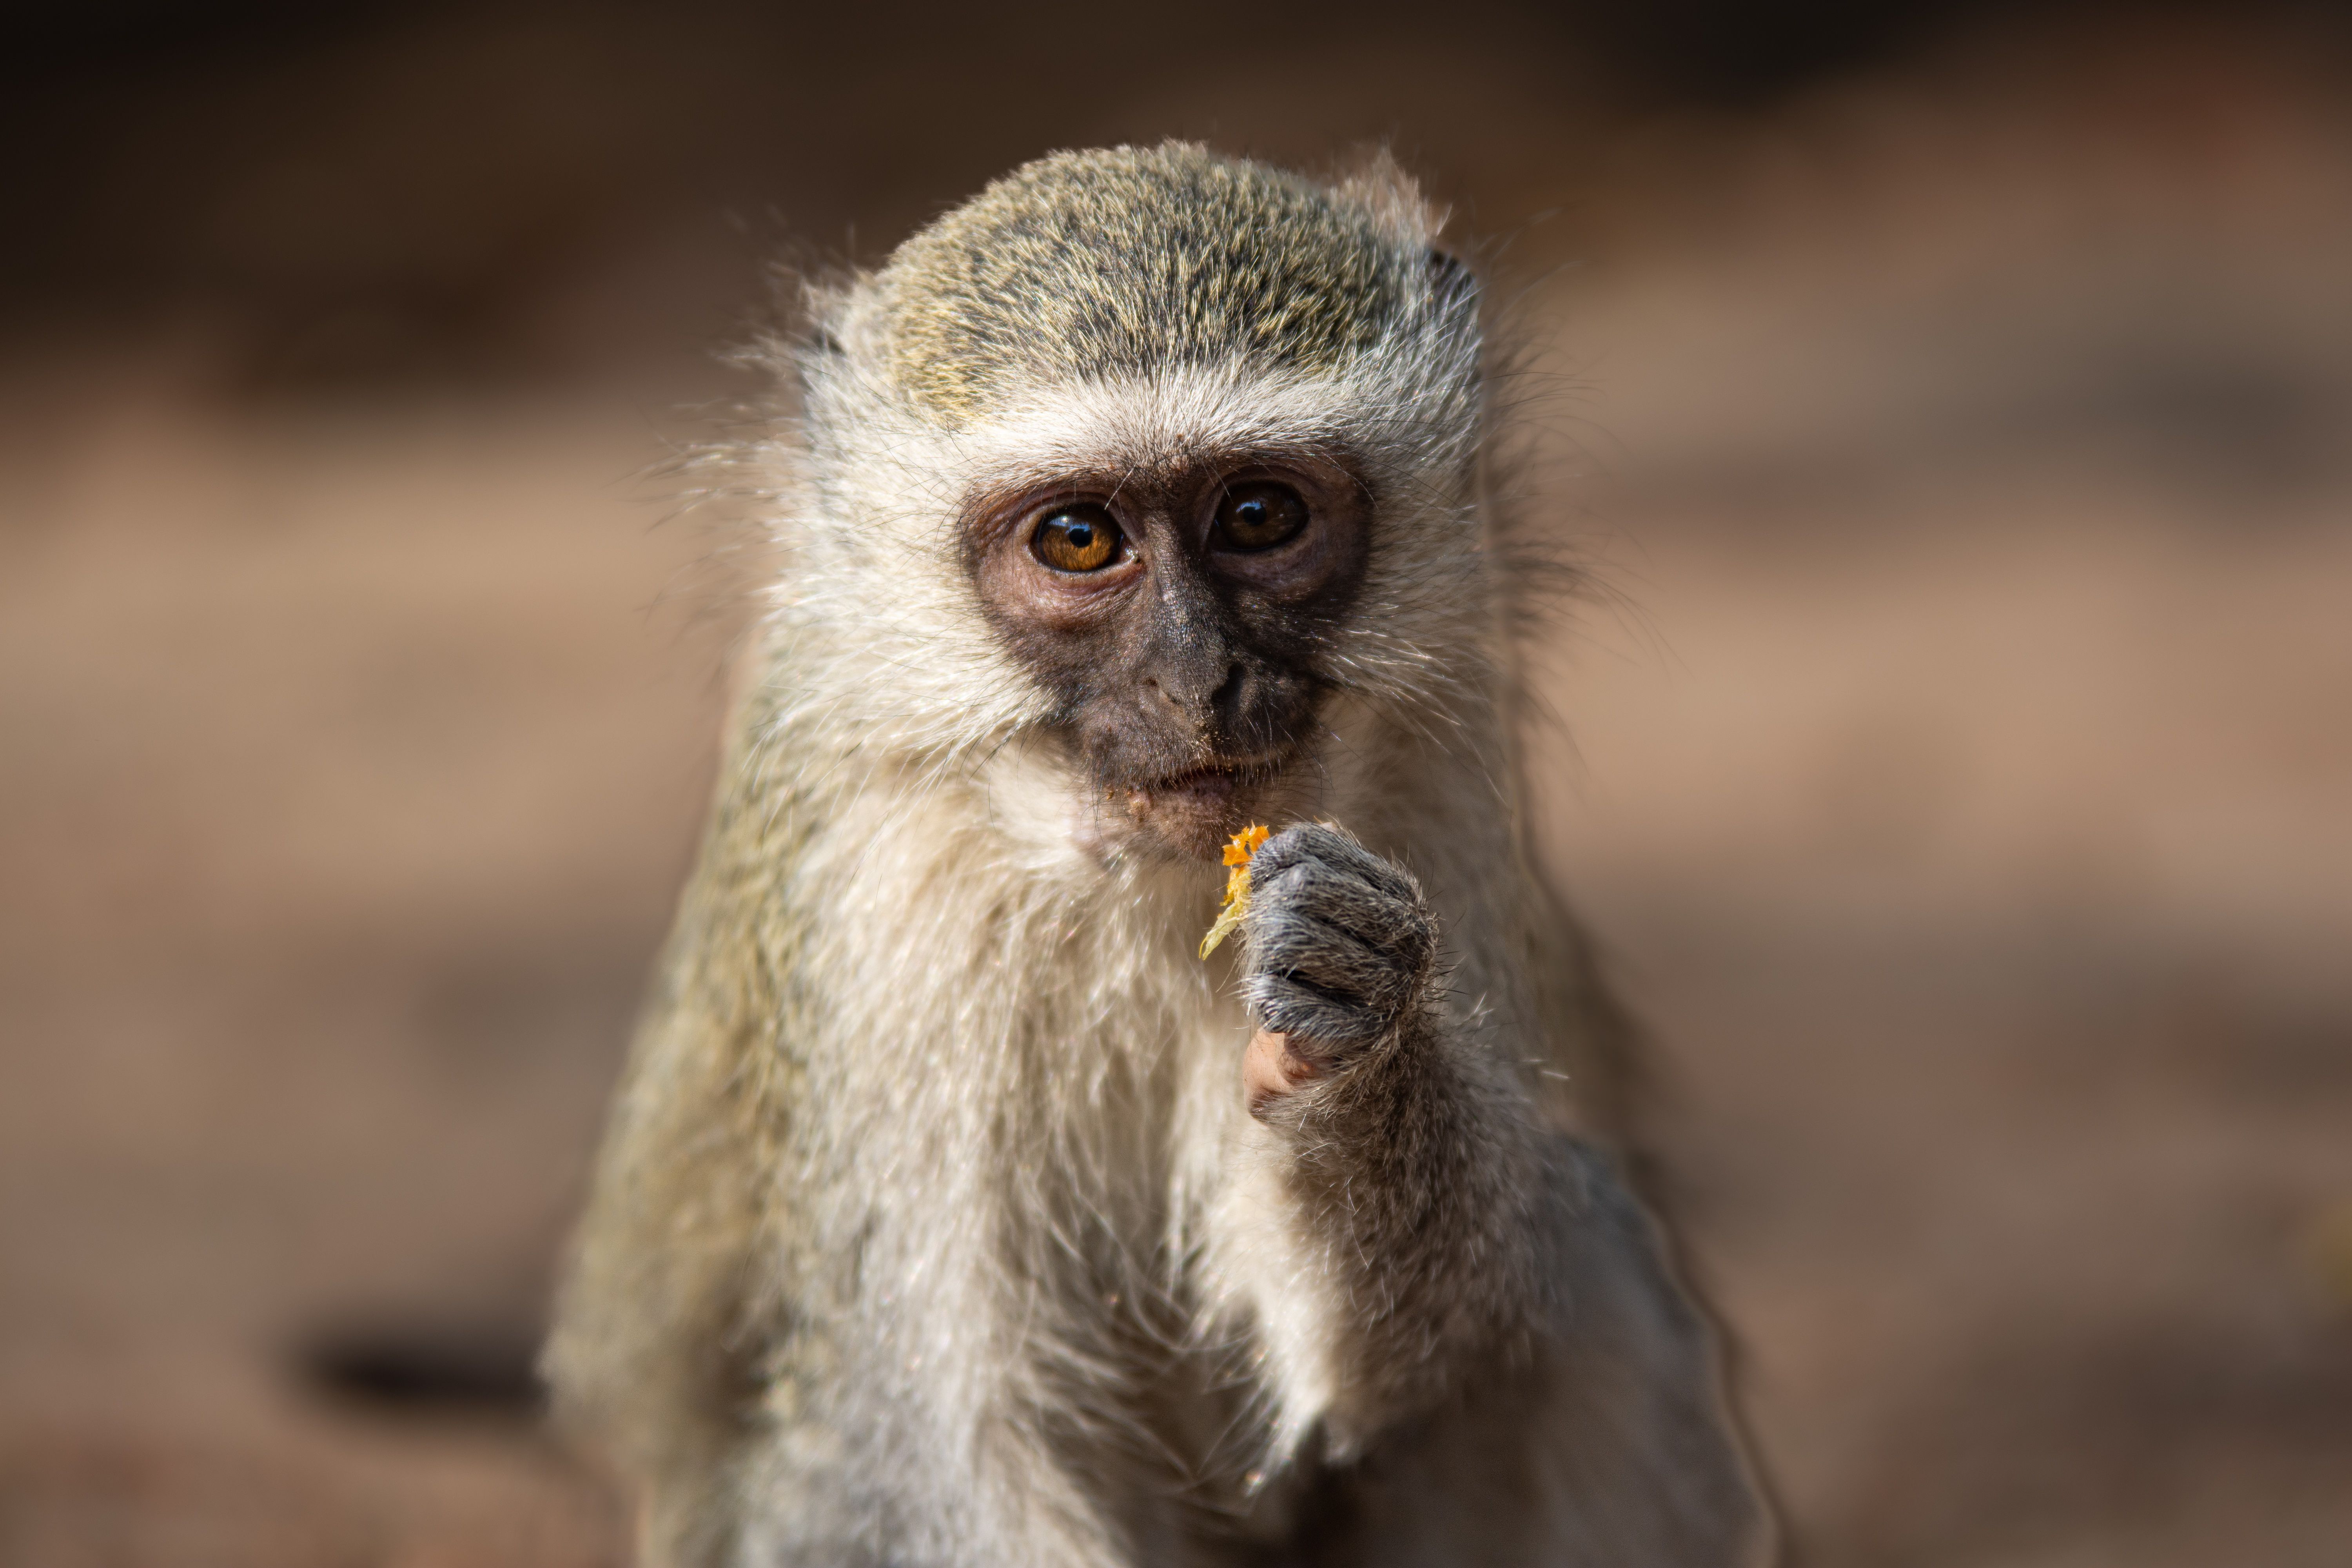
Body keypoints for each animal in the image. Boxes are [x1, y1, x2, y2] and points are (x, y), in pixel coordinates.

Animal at [545, 143, 1769, 1568]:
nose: (1199, 680)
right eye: (1079, 540)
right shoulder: (874, 896)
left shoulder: (1446, 765)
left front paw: (1354, 1040)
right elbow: (942, 1437)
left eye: (1259, 515)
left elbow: (1419, 1353)